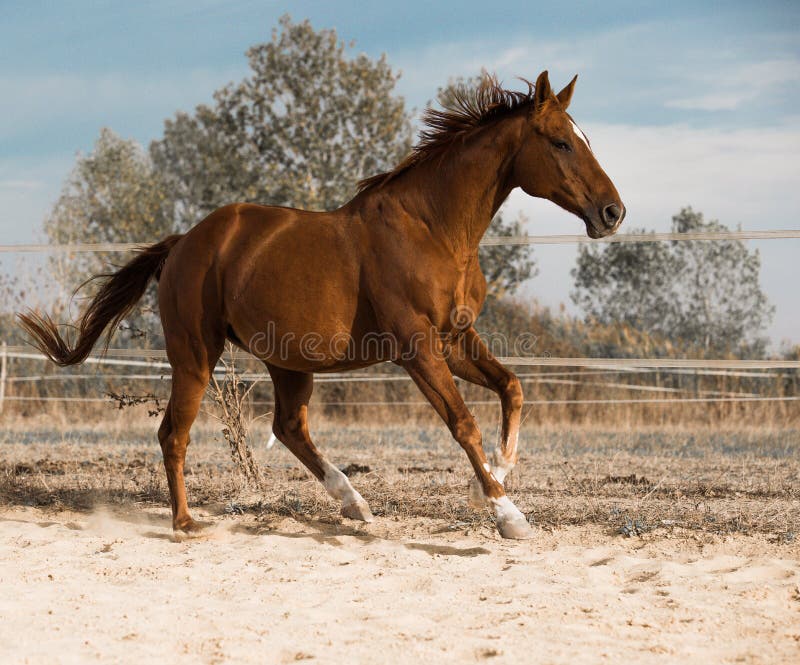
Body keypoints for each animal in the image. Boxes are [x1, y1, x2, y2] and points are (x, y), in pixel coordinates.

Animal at [19, 71, 624, 539]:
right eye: (560, 142)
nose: (613, 212)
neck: (432, 228)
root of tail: (184, 242)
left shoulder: (455, 338)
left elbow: (512, 388)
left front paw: (494, 482)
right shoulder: (417, 348)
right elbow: (463, 423)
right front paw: (507, 514)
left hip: (287, 360)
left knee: (289, 426)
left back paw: (354, 504)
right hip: (195, 355)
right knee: (175, 433)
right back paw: (187, 524)